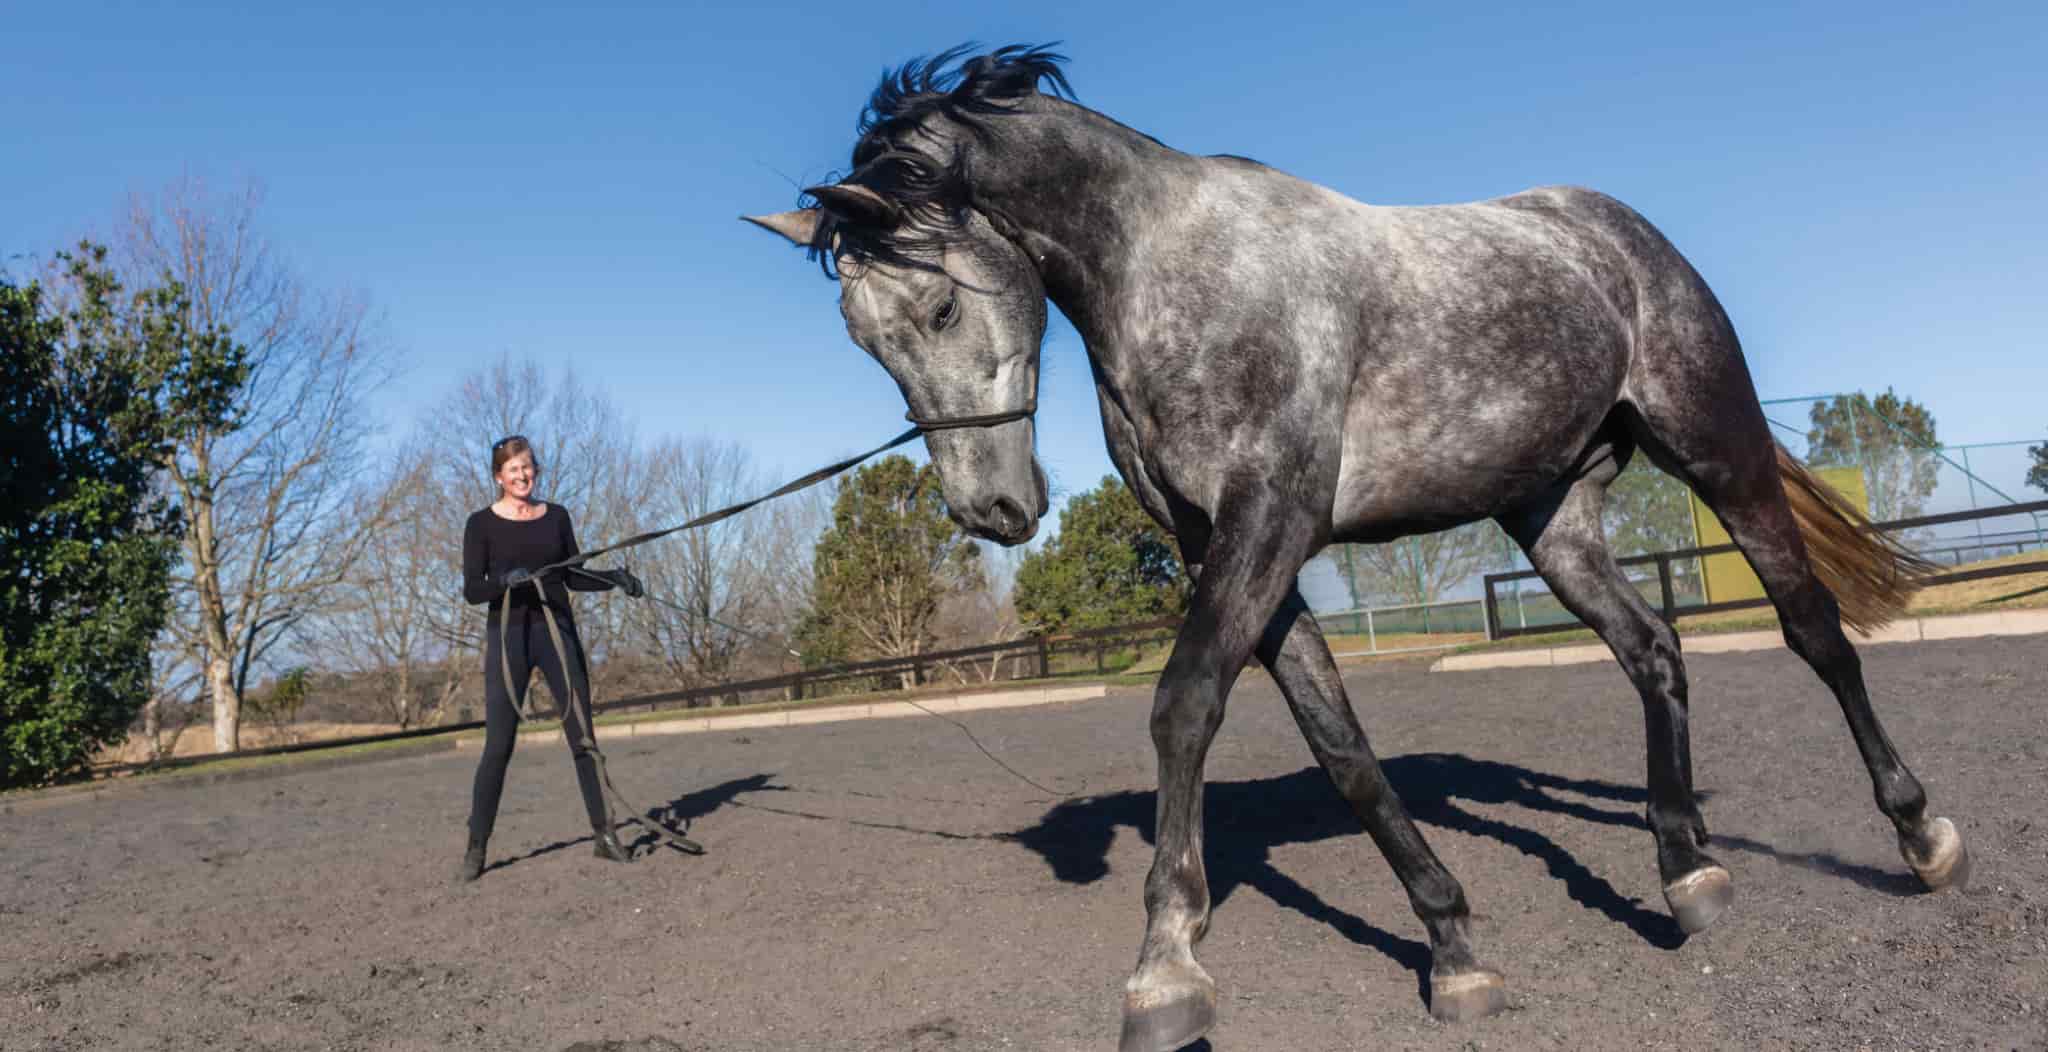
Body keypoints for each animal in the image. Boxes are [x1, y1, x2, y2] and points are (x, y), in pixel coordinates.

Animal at [745, 45, 1968, 1052]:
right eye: (866, 339)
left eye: (942, 310)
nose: (992, 510)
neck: (1173, 275)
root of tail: (1620, 235)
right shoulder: (1234, 548)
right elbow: (1340, 748)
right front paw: (1454, 947)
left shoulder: (1269, 521)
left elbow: (1183, 706)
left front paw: (1166, 967)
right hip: (1554, 520)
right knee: (1653, 651)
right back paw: (1686, 869)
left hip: (1718, 451)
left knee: (1811, 629)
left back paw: (1917, 835)